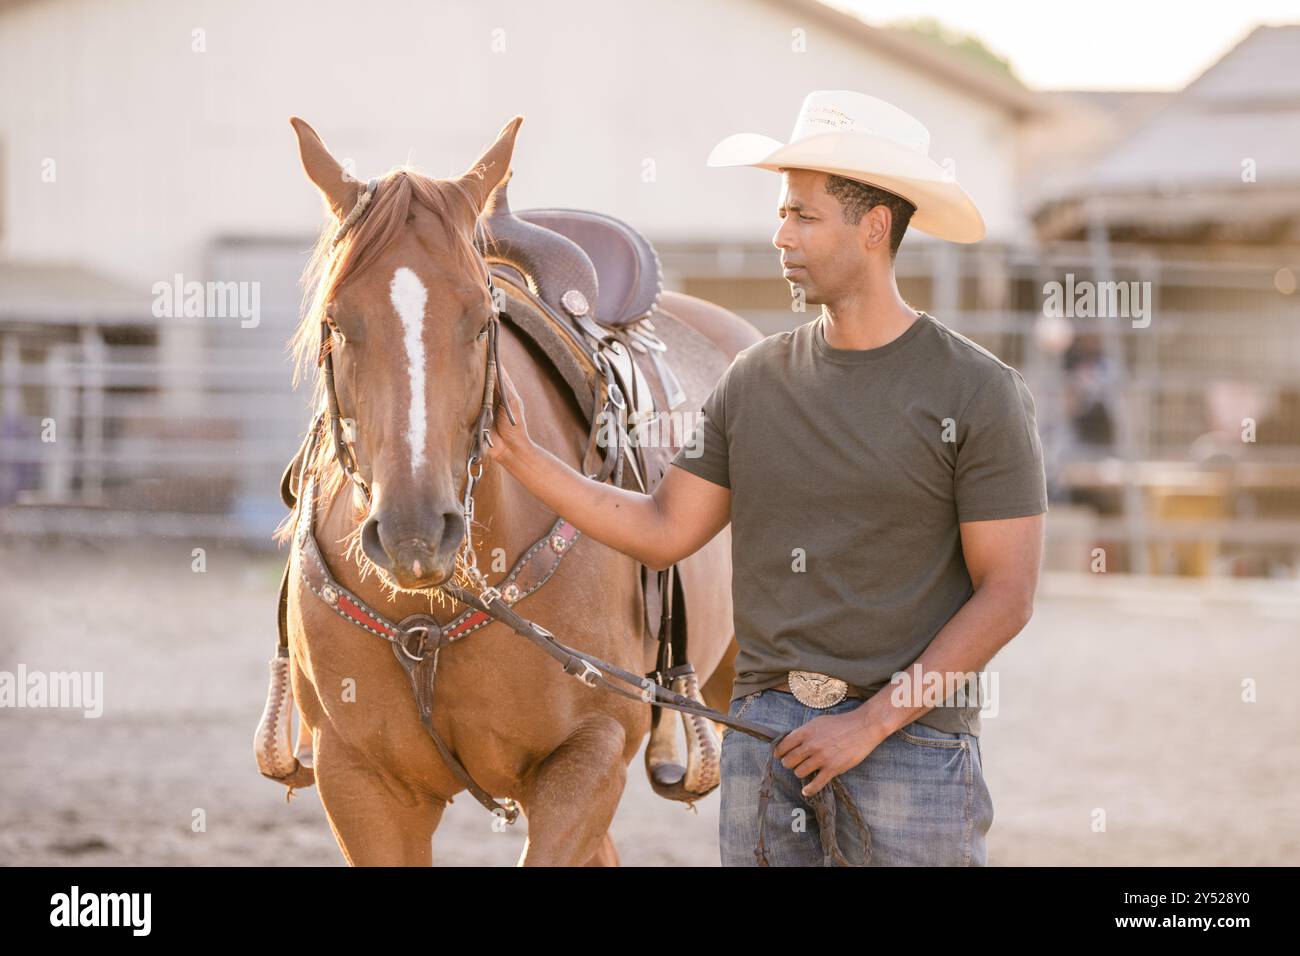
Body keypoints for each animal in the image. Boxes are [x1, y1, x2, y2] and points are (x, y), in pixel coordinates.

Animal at [271, 114, 762, 865]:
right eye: (334, 321)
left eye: (481, 320)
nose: (415, 532)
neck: (431, 613)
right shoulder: (357, 781)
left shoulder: (589, 758)